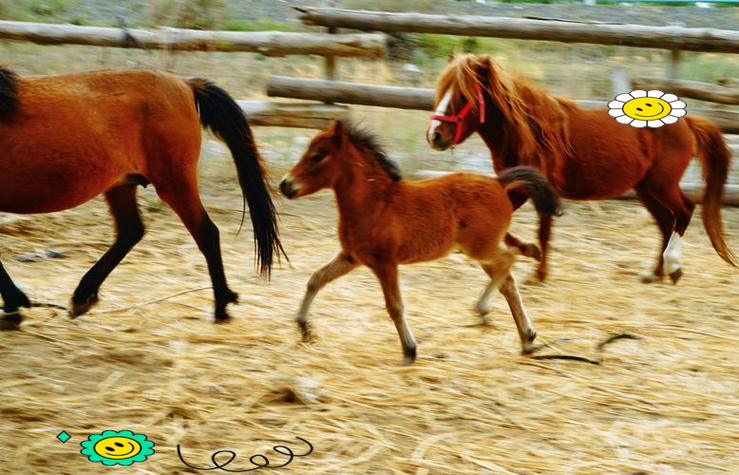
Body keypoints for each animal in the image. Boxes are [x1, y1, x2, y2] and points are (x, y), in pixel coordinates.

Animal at [0, 67, 285, 324]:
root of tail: (186, 84)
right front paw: (15, 302)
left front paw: (15, 303)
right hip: (122, 185)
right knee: (131, 231)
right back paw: (82, 296)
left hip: (173, 183)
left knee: (205, 232)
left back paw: (222, 305)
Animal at [279, 120, 562, 364]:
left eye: (317, 156)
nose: (285, 185)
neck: (376, 203)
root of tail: (498, 182)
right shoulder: (351, 257)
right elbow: (316, 279)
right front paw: (304, 328)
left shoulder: (385, 263)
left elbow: (394, 306)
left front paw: (409, 350)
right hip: (481, 251)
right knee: (508, 283)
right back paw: (526, 338)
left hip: (480, 247)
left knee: (508, 259)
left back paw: (483, 308)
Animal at [427, 53, 736, 284]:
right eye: (442, 90)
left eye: (463, 96)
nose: (435, 136)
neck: (530, 131)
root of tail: (687, 121)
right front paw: (535, 262)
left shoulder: (532, 188)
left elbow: (541, 230)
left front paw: (537, 269)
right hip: (646, 188)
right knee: (666, 221)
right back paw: (655, 273)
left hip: (662, 184)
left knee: (684, 210)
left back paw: (673, 268)